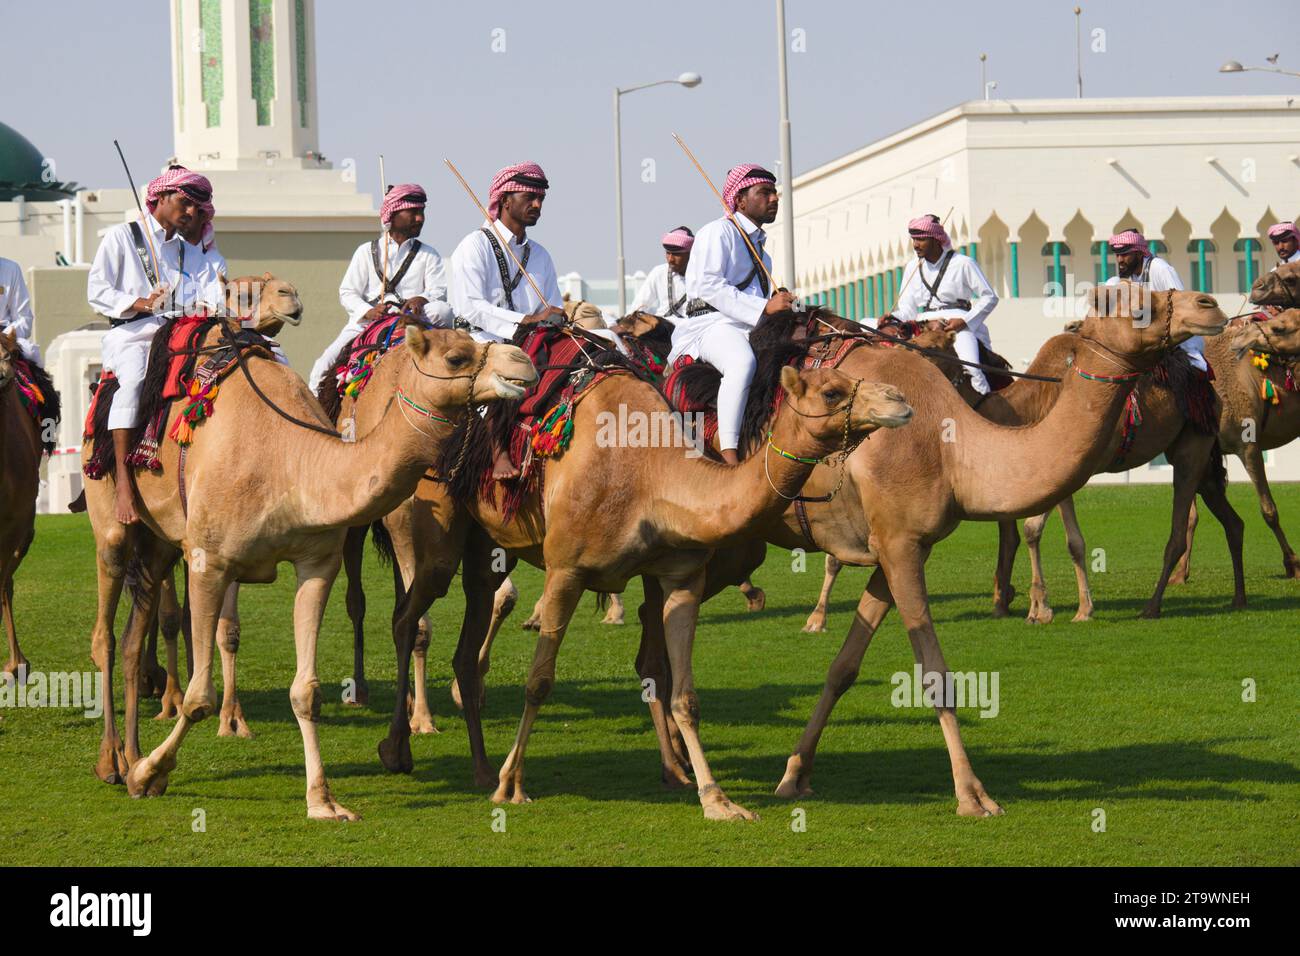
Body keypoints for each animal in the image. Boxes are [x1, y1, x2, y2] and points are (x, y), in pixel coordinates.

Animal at [82, 316, 537, 820]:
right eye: (456, 357)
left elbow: (307, 691)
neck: (291, 464)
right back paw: (114, 762)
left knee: (130, 638)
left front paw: (323, 801)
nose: (523, 362)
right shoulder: (208, 563)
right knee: (104, 633)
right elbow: (200, 698)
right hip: (113, 522)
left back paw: (131, 752)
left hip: (160, 542)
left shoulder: (317, 563)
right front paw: (150, 775)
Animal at [630, 285, 1226, 815]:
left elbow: (844, 667)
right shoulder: (899, 545)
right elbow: (936, 675)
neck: (951, 446)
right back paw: (676, 770)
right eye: (1131, 301)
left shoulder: (899, 549)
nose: (1208, 304)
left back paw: (679, 762)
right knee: (656, 642)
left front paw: (794, 775)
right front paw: (973, 795)